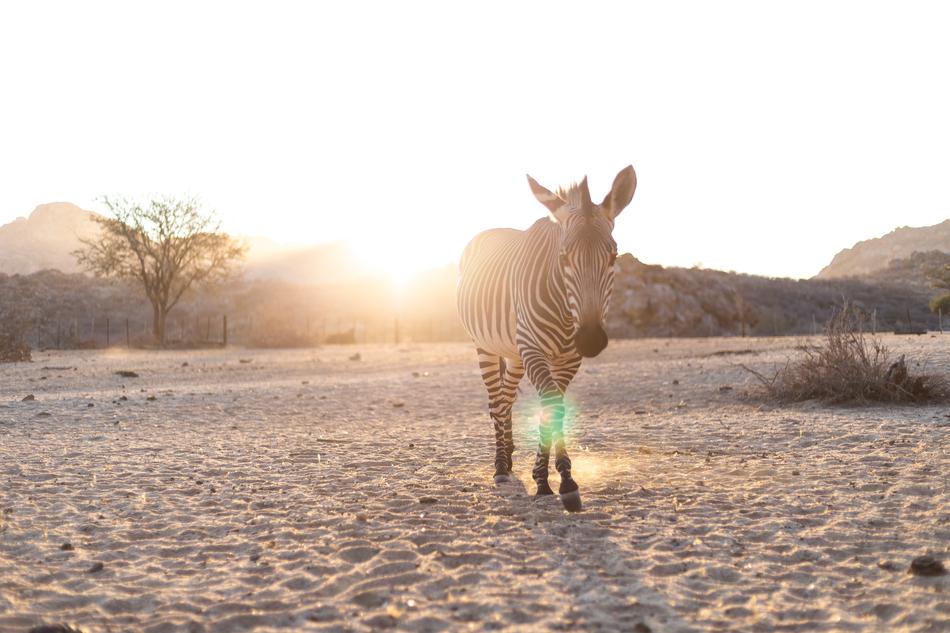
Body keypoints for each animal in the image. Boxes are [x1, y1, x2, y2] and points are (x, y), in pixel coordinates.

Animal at [457, 165, 637, 511]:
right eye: (564, 258)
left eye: (613, 257)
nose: (590, 340)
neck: (567, 315)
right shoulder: (533, 349)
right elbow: (551, 407)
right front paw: (558, 481)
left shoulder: (568, 359)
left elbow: (553, 409)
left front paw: (548, 477)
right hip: (486, 346)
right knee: (497, 401)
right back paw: (501, 466)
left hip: (514, 353)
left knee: (507, 398)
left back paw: (510, 456)